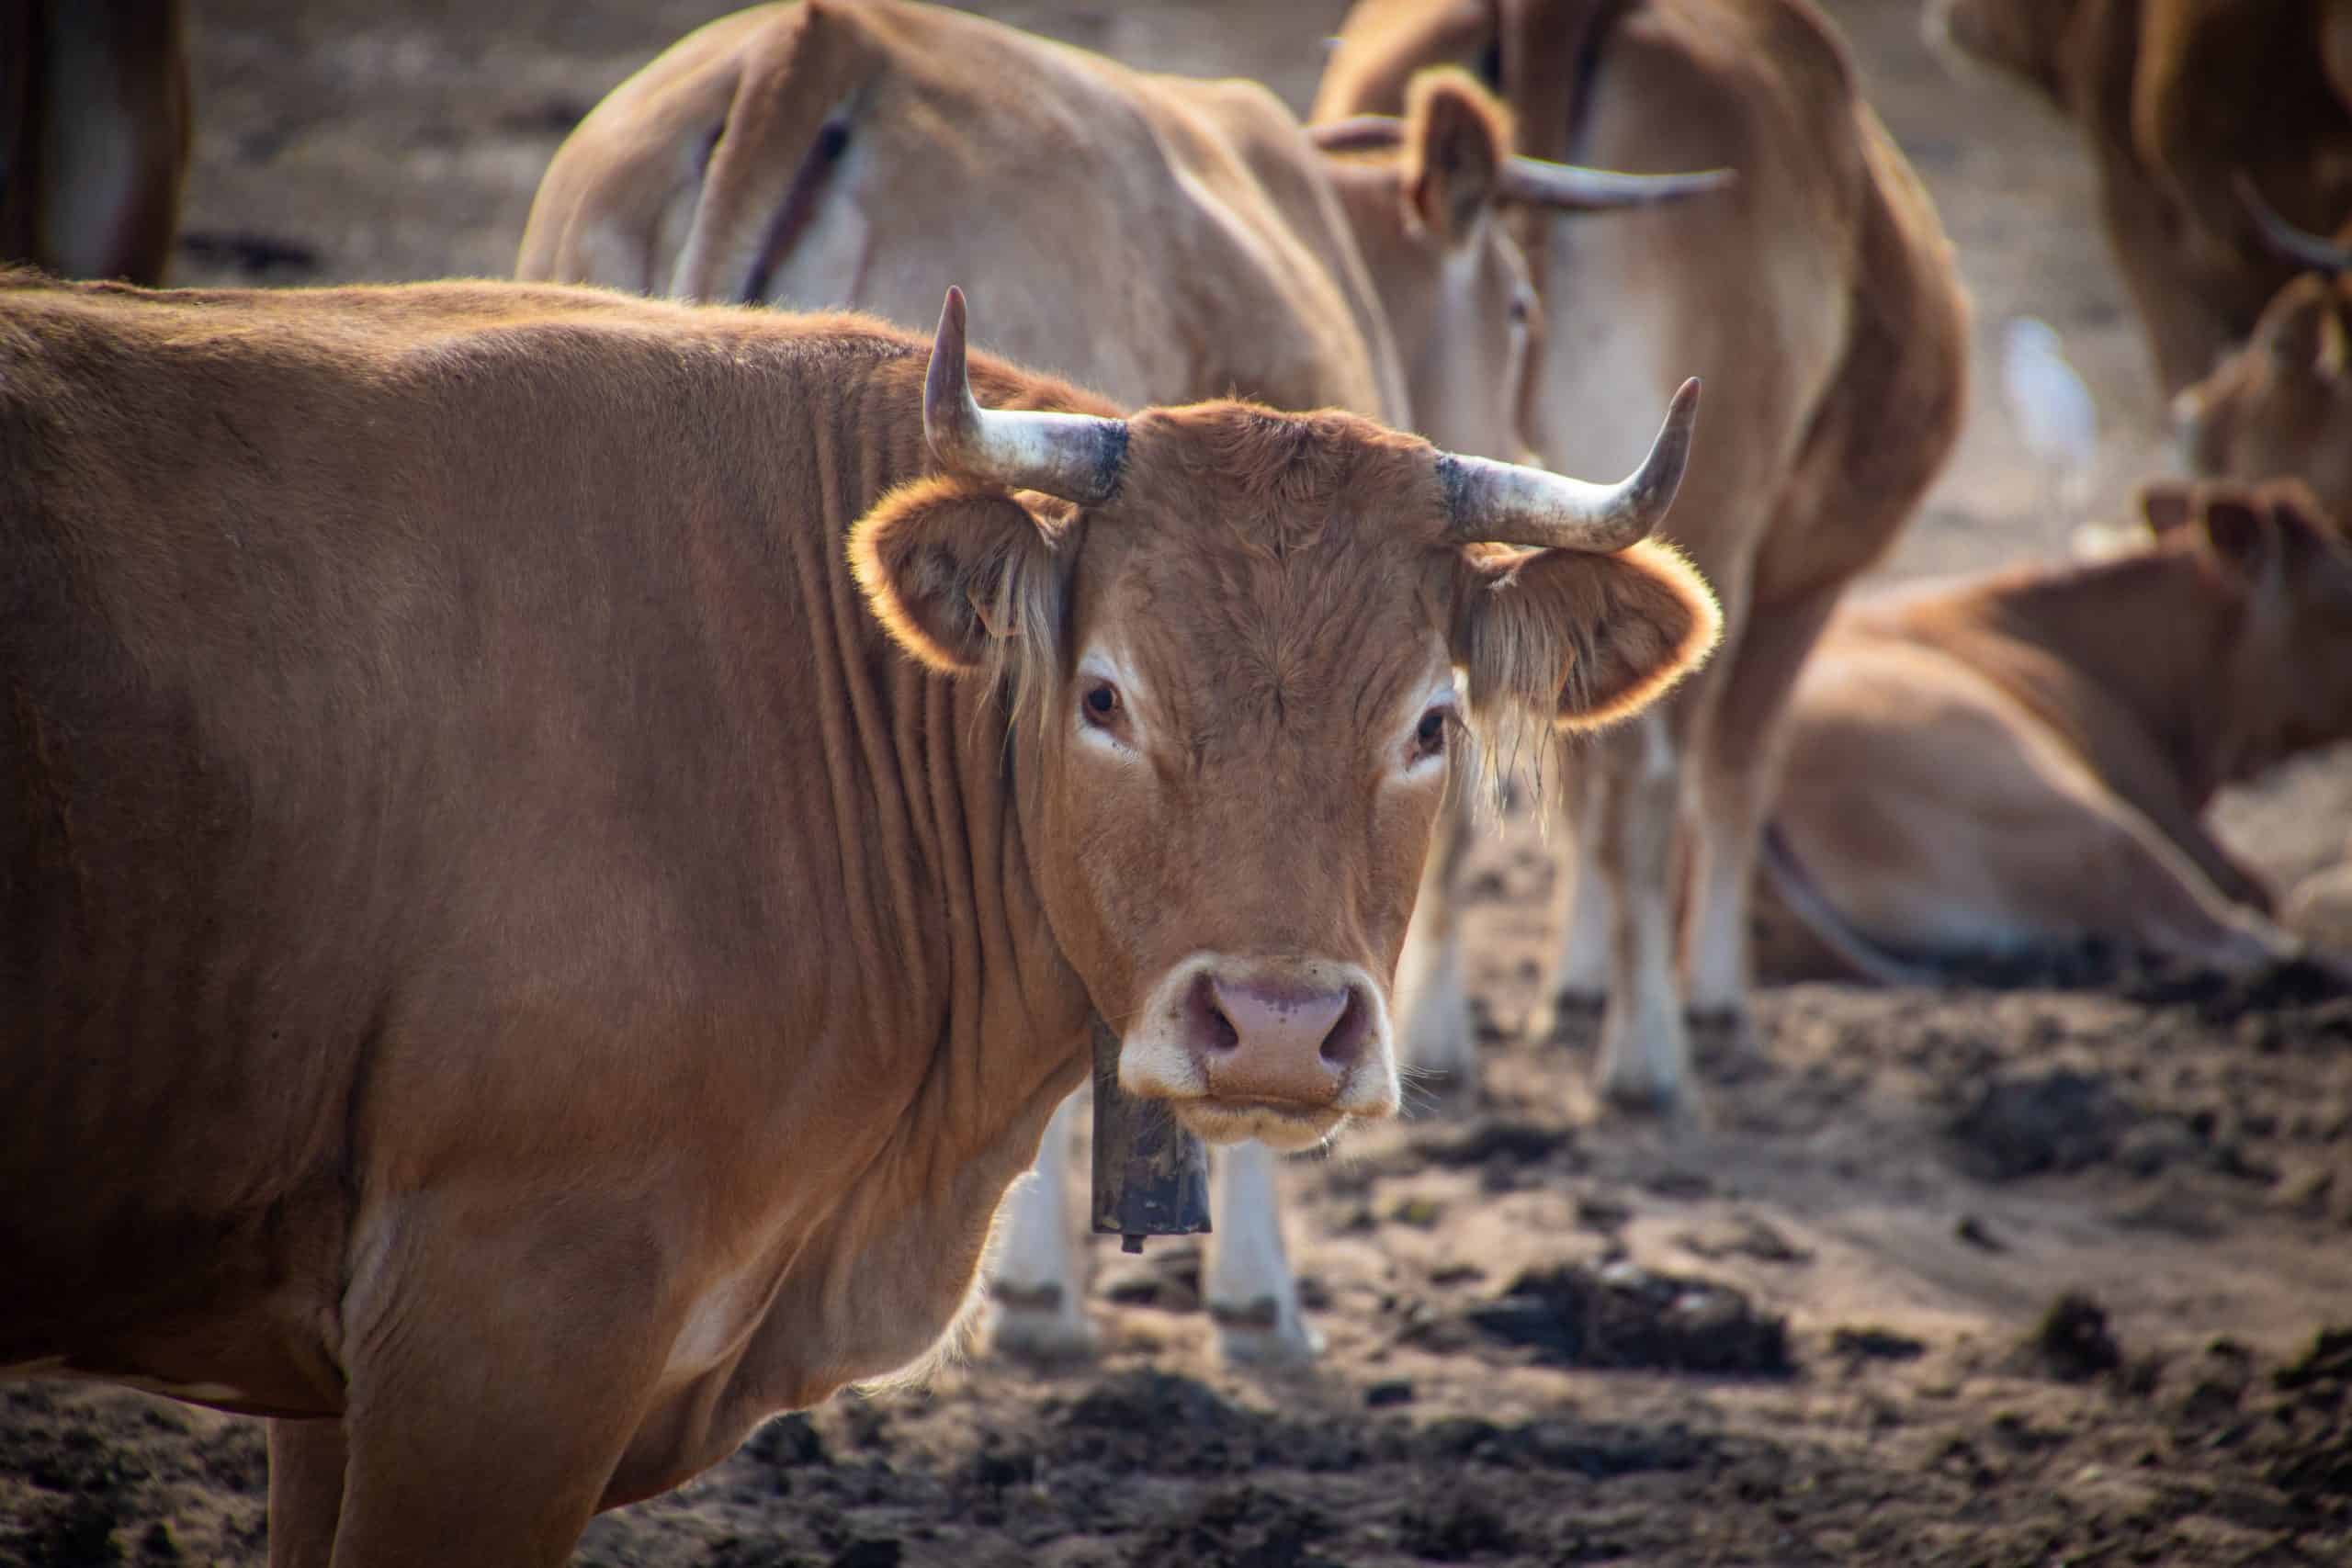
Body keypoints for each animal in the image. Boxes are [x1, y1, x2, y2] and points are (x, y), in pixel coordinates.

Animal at [1314, 0, 1970, 1110]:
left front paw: (1572, 982)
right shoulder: (1794, 591)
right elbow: (1732, 773)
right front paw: (1710, 998)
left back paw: (1438, 1038)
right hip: (1712, 525)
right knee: (1659, 778)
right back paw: (1648, 1056)